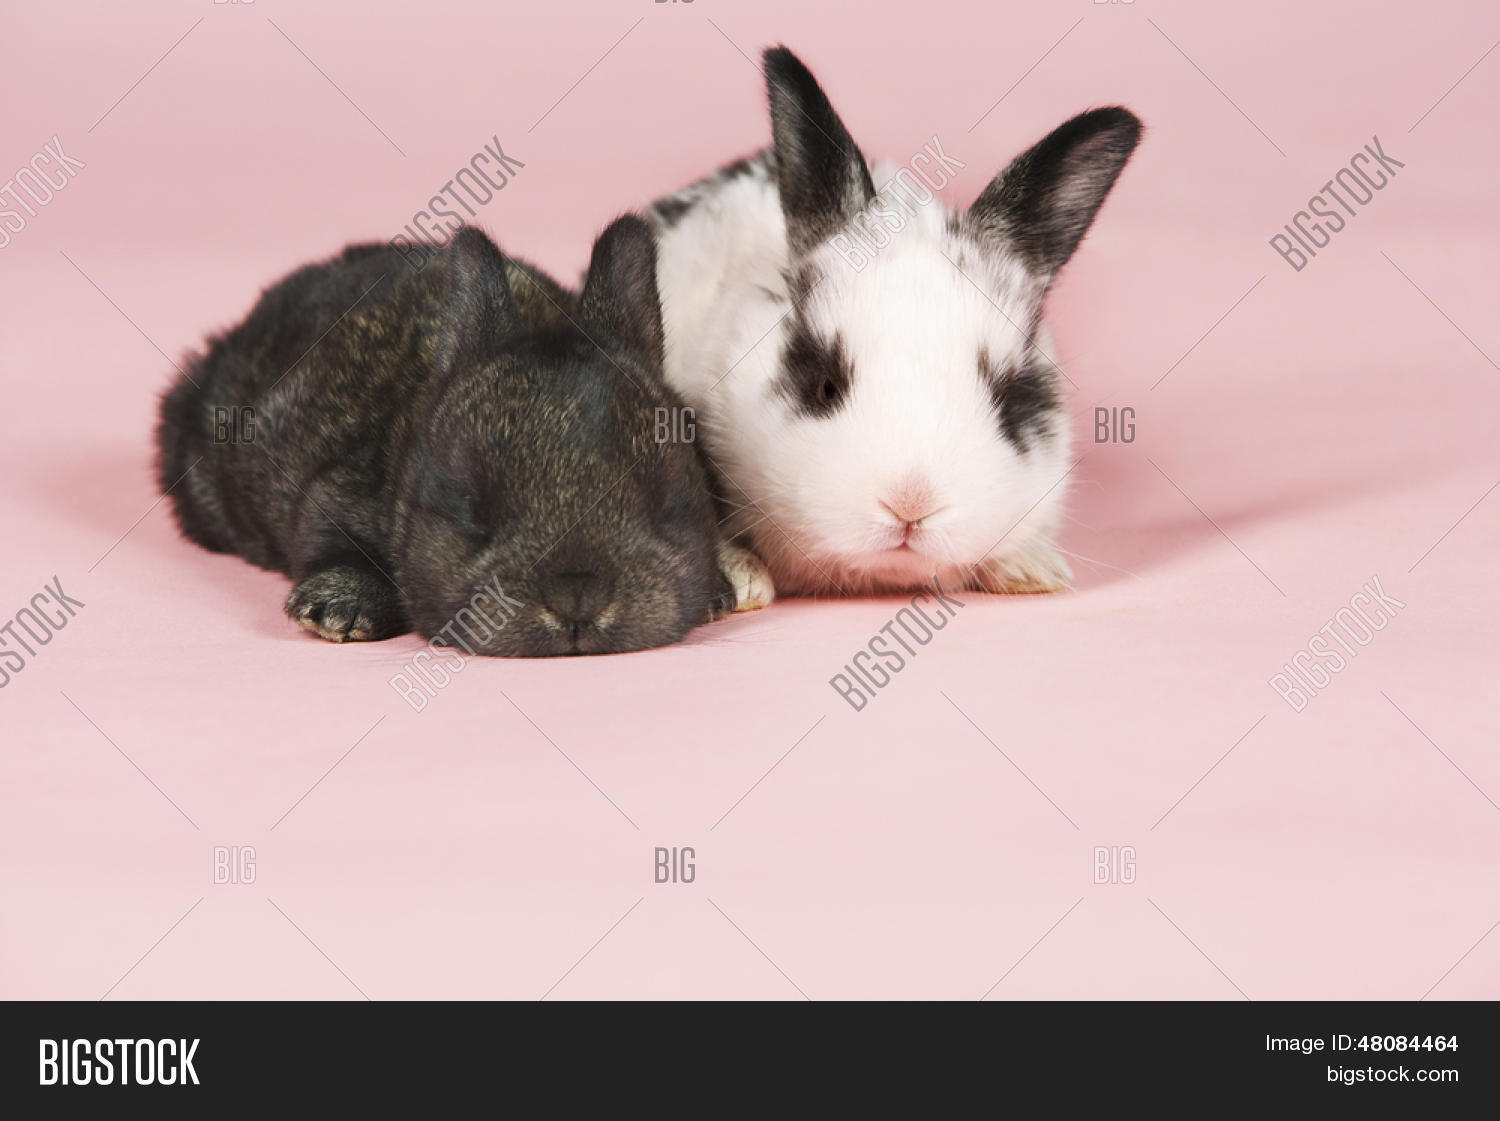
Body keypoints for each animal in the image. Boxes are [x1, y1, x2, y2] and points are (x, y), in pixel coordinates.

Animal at [155, 216, 771, 656]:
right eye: (469, 512)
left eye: (670, 504)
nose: (577, 595)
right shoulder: (337, 492)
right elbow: (328, 538)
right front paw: (338, 613)